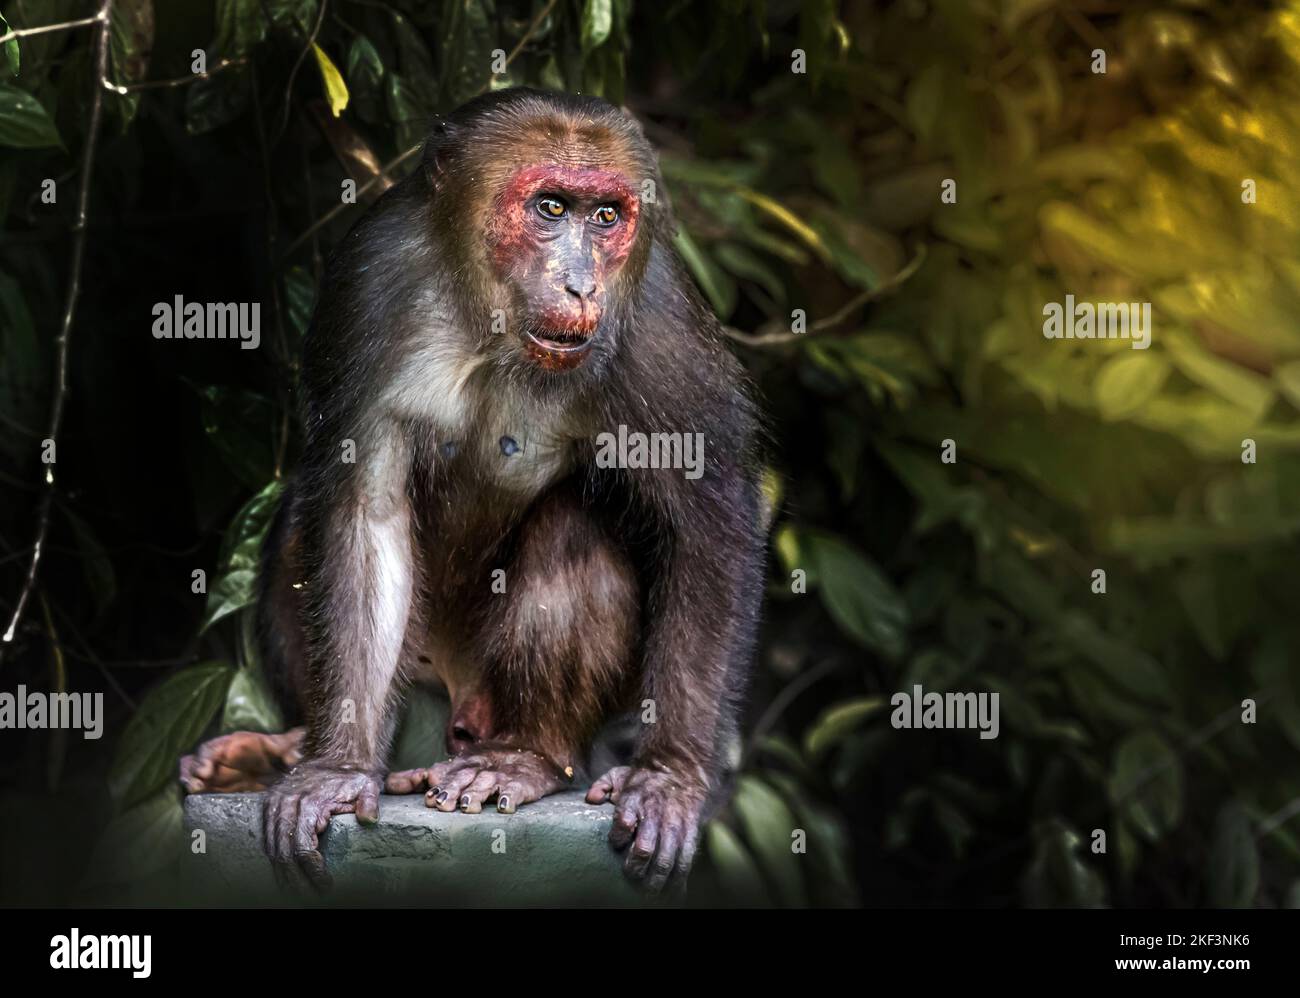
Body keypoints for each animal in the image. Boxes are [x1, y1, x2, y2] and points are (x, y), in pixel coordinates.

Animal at [179, 87, 766, 894]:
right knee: (301, 521)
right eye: (550, 207)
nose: (580, 281)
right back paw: (289, 747)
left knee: (573, 534)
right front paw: (336, 770)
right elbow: (364, 508)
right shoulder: (367, 278)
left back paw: (524, 758)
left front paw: (672, 777)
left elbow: (709, 519)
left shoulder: (660, 320)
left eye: (605, 216)